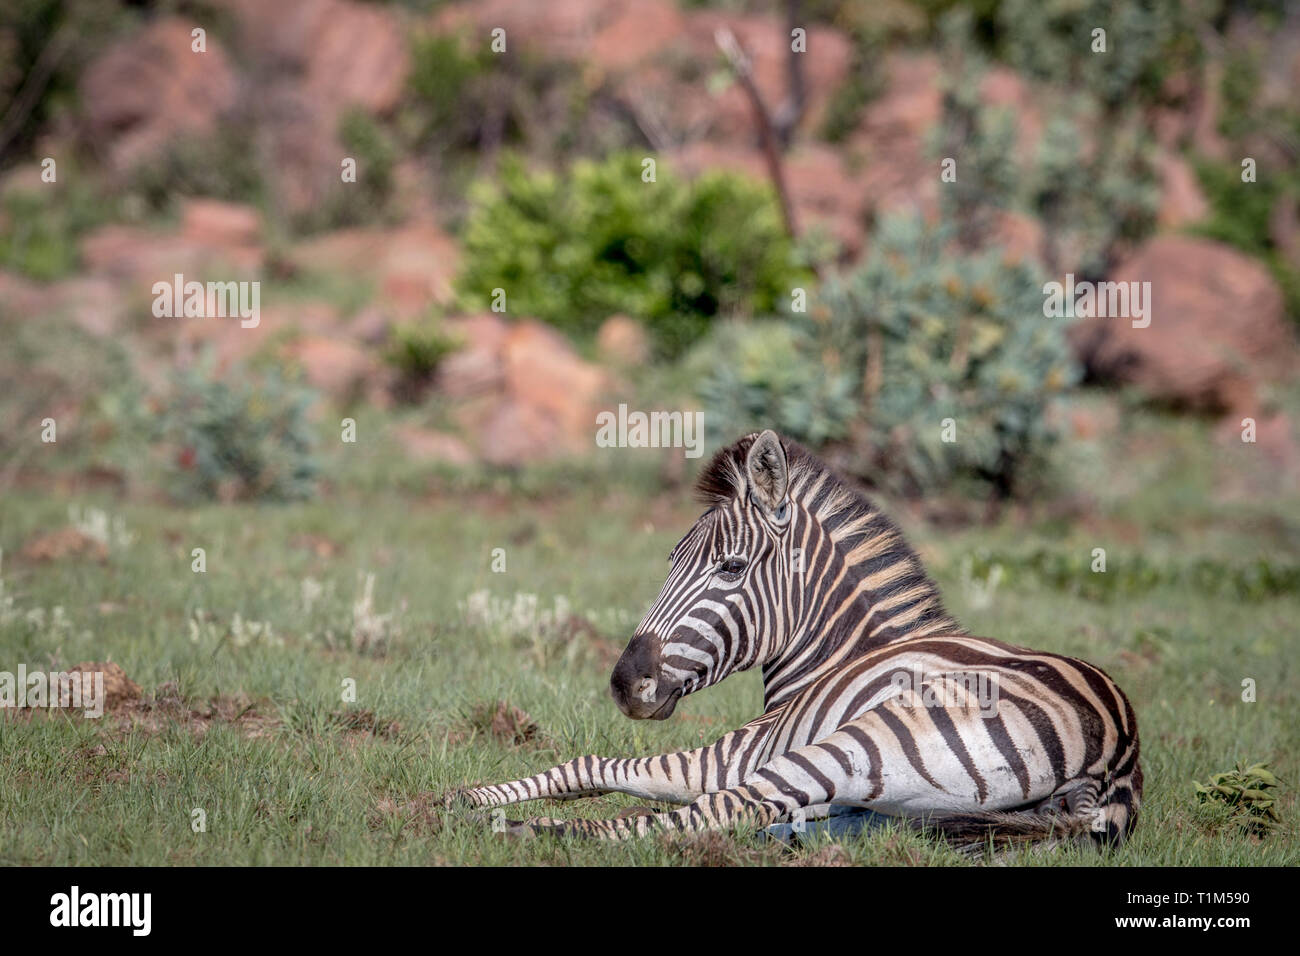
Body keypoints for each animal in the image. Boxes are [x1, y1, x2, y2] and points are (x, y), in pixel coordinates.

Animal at [448, 430, 1142, 847]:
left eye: (730, 567)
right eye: (670, 561)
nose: (625, 684)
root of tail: (1115, 756)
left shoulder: (733, 753)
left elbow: (596, 765)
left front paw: (470, 797)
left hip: (865, 738)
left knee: (713, 811)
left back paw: (521, 829)